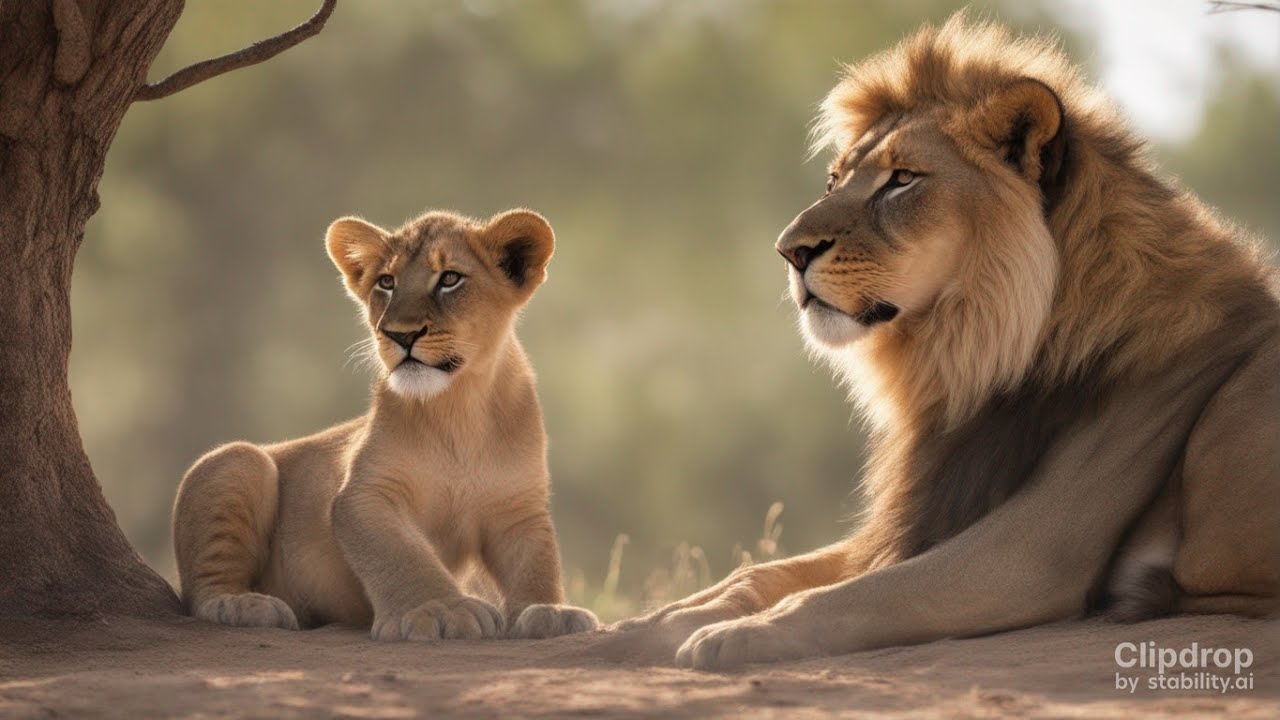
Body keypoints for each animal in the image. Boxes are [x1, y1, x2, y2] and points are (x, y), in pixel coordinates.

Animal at [172, 208, 599, 641]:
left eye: (450, 278)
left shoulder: (518, 506)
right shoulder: (365, 494)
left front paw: (548, 610)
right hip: (238, 461)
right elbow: (401, 553)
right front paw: (442, 608)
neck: (459, 406)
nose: (399, 334)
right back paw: (244, 604)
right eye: (387, 282)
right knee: (202, 590)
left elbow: (536, 562)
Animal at [616, 14, 1279, 670]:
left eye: (902, 181)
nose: (789, 251)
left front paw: (732, 634)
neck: (965, 358)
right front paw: (651, 623)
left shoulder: (1024, 556)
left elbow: (846, 596)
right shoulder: (923, 516)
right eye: (834, 180)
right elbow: (762, 574)